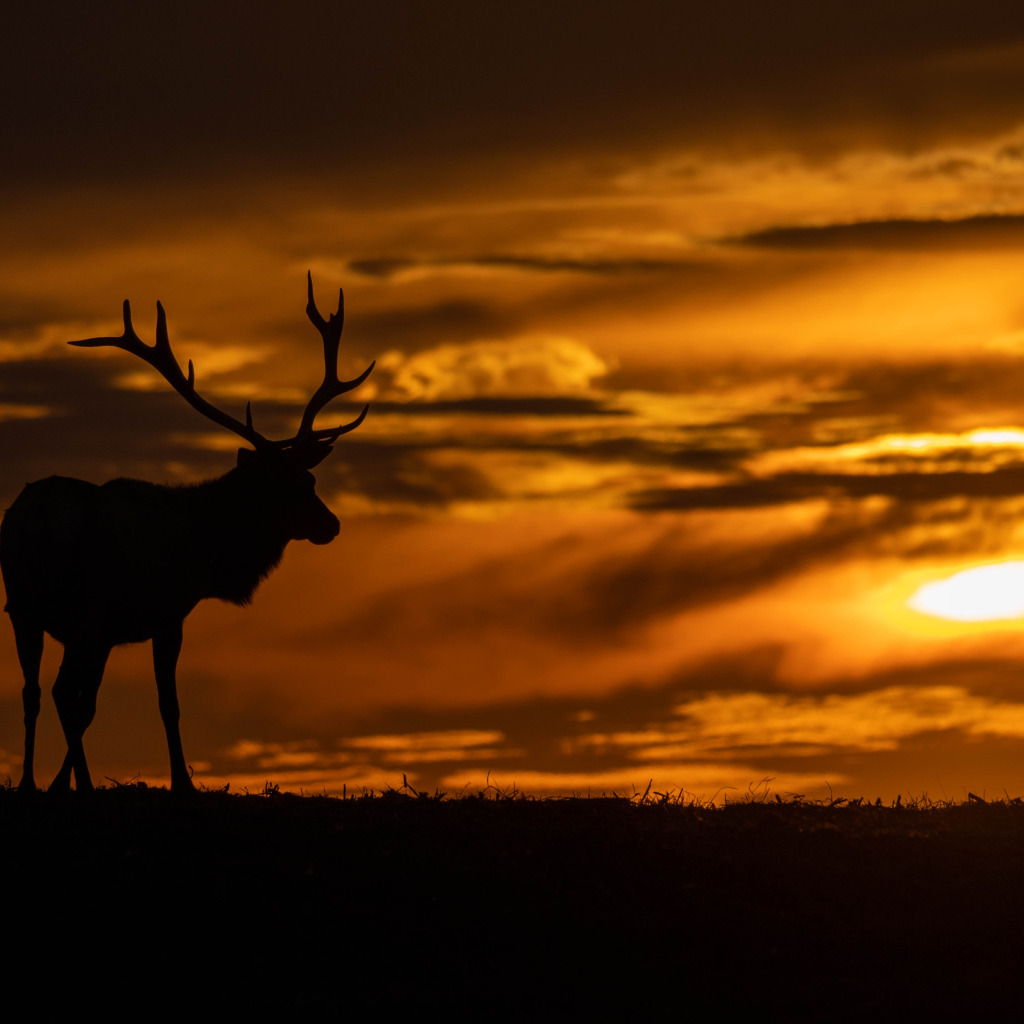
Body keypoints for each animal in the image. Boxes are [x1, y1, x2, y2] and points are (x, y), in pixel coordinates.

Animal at [0, 273, 373, 794]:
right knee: (58, 691)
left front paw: (58, 784)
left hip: (24, 609)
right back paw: (83, 786)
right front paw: (182, 783)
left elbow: (90, 706)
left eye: (311, 478)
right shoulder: (165, 615)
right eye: (285, 487)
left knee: (34, 691)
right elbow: (165, 704)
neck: (204, 553)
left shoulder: (109, 633)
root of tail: (31, 522)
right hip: (81, 610)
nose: (331, 524)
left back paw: (31, 783)